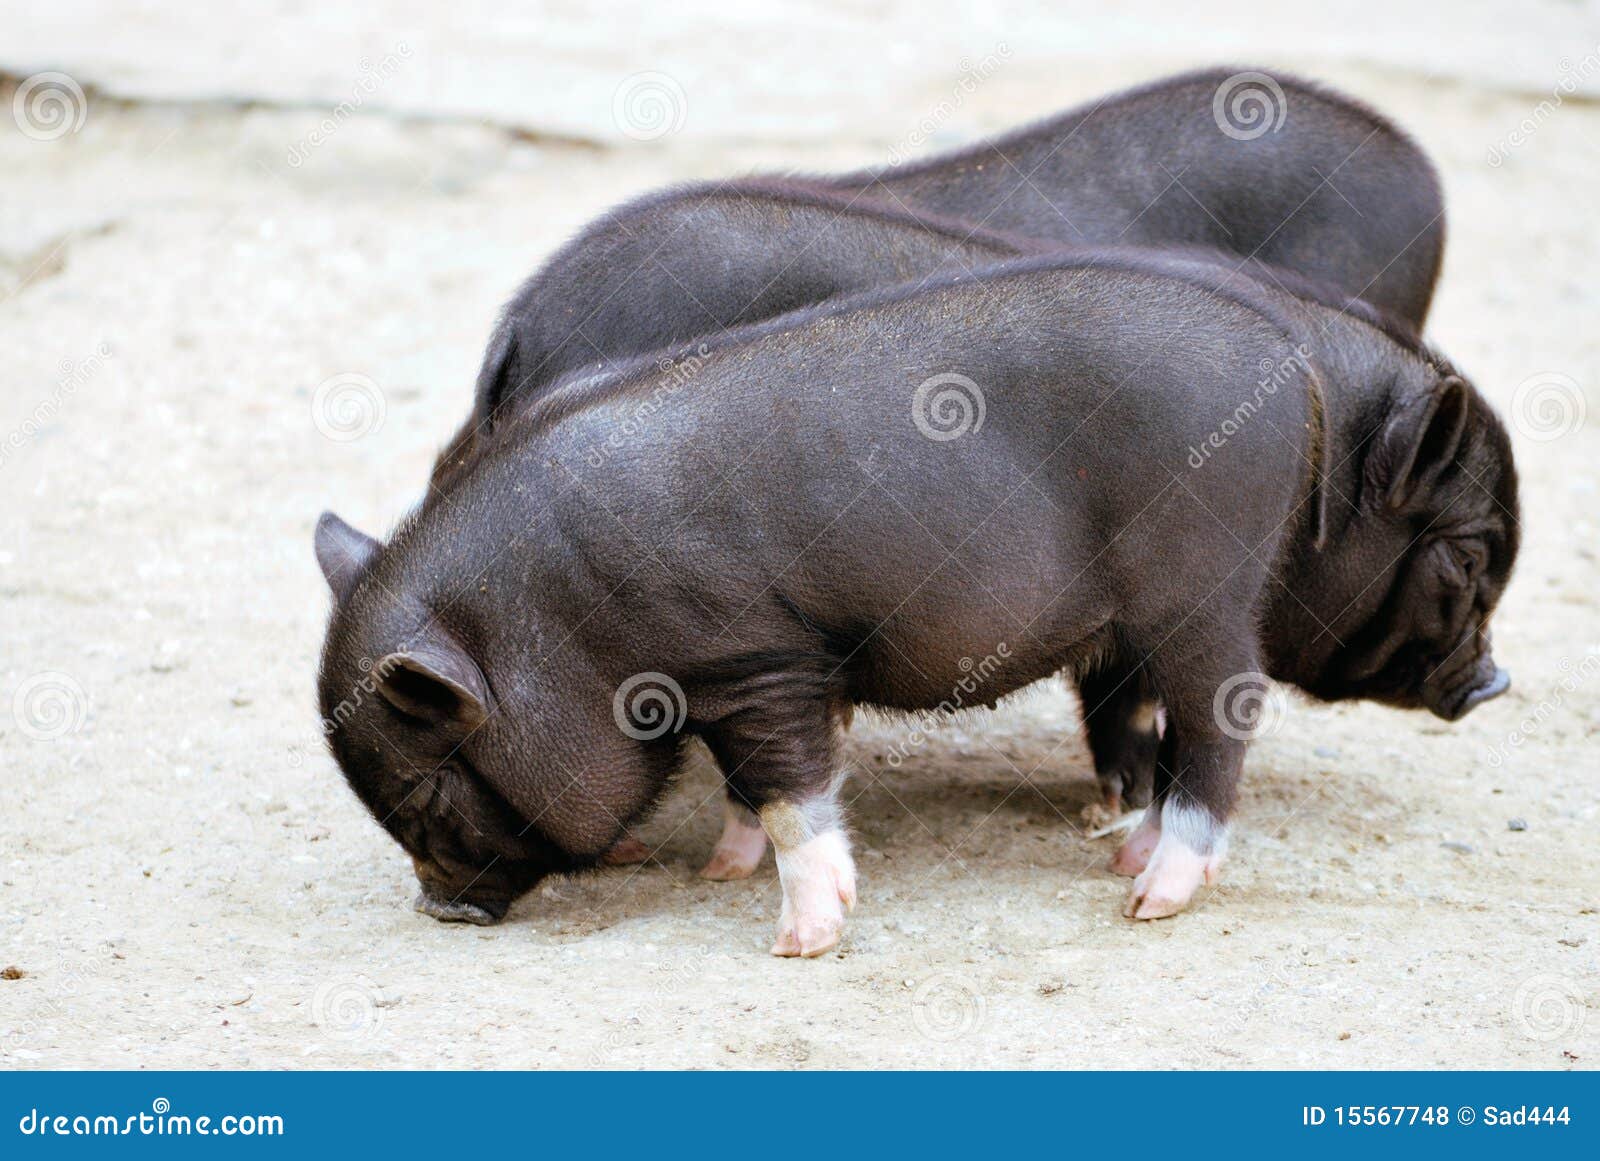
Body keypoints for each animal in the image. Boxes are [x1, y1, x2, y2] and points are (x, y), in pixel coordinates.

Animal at [315, 249, 1517, 954]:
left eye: (423, 793)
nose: (439, 908)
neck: (553, 619)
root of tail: (1285, 361)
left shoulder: (758, 656)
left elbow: (794, 795)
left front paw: (800, 941)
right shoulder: (731, 681)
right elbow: (751, 791)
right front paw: (717, 868)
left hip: (1200, 589)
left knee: (1222, 727)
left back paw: (1146, 894)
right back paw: (1121, 856)